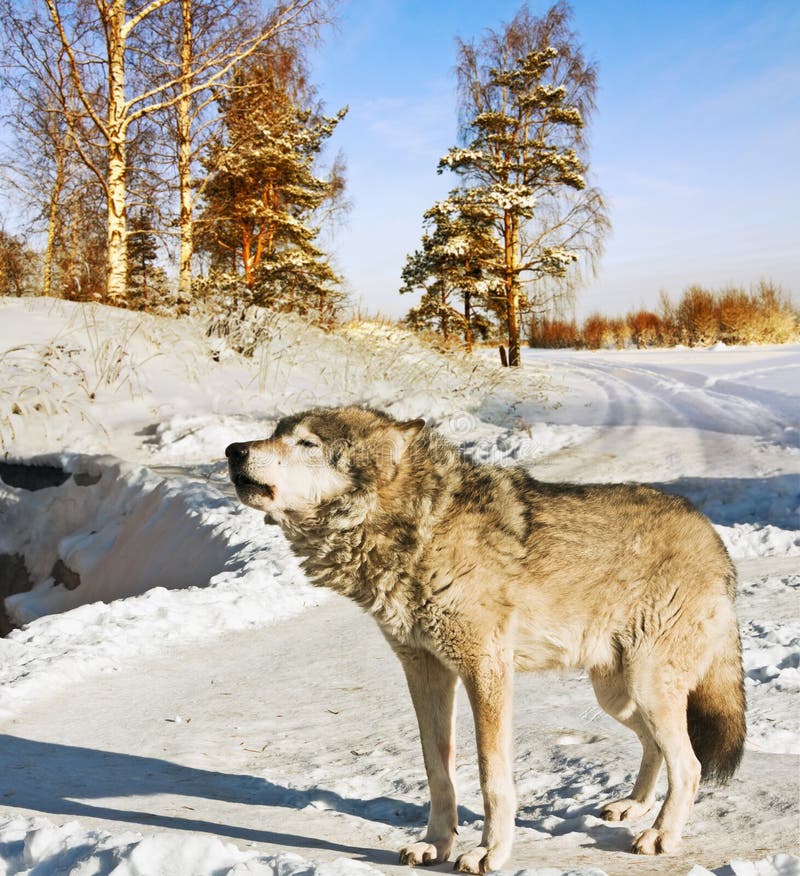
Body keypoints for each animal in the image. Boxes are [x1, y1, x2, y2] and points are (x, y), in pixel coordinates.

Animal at [226, 406, 745, 873]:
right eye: (275, 434)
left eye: (306, 443)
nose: (234, 450)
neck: (419, 529)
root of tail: (710, 533)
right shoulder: (425, 673)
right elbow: (437, 770)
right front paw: (435, 845)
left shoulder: (486, 669)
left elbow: (490, 774)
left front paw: (489, 853)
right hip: (616, 695)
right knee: (658, 748)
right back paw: (633, 807)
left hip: (646, 686)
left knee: (691, 765)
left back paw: (660, 835)